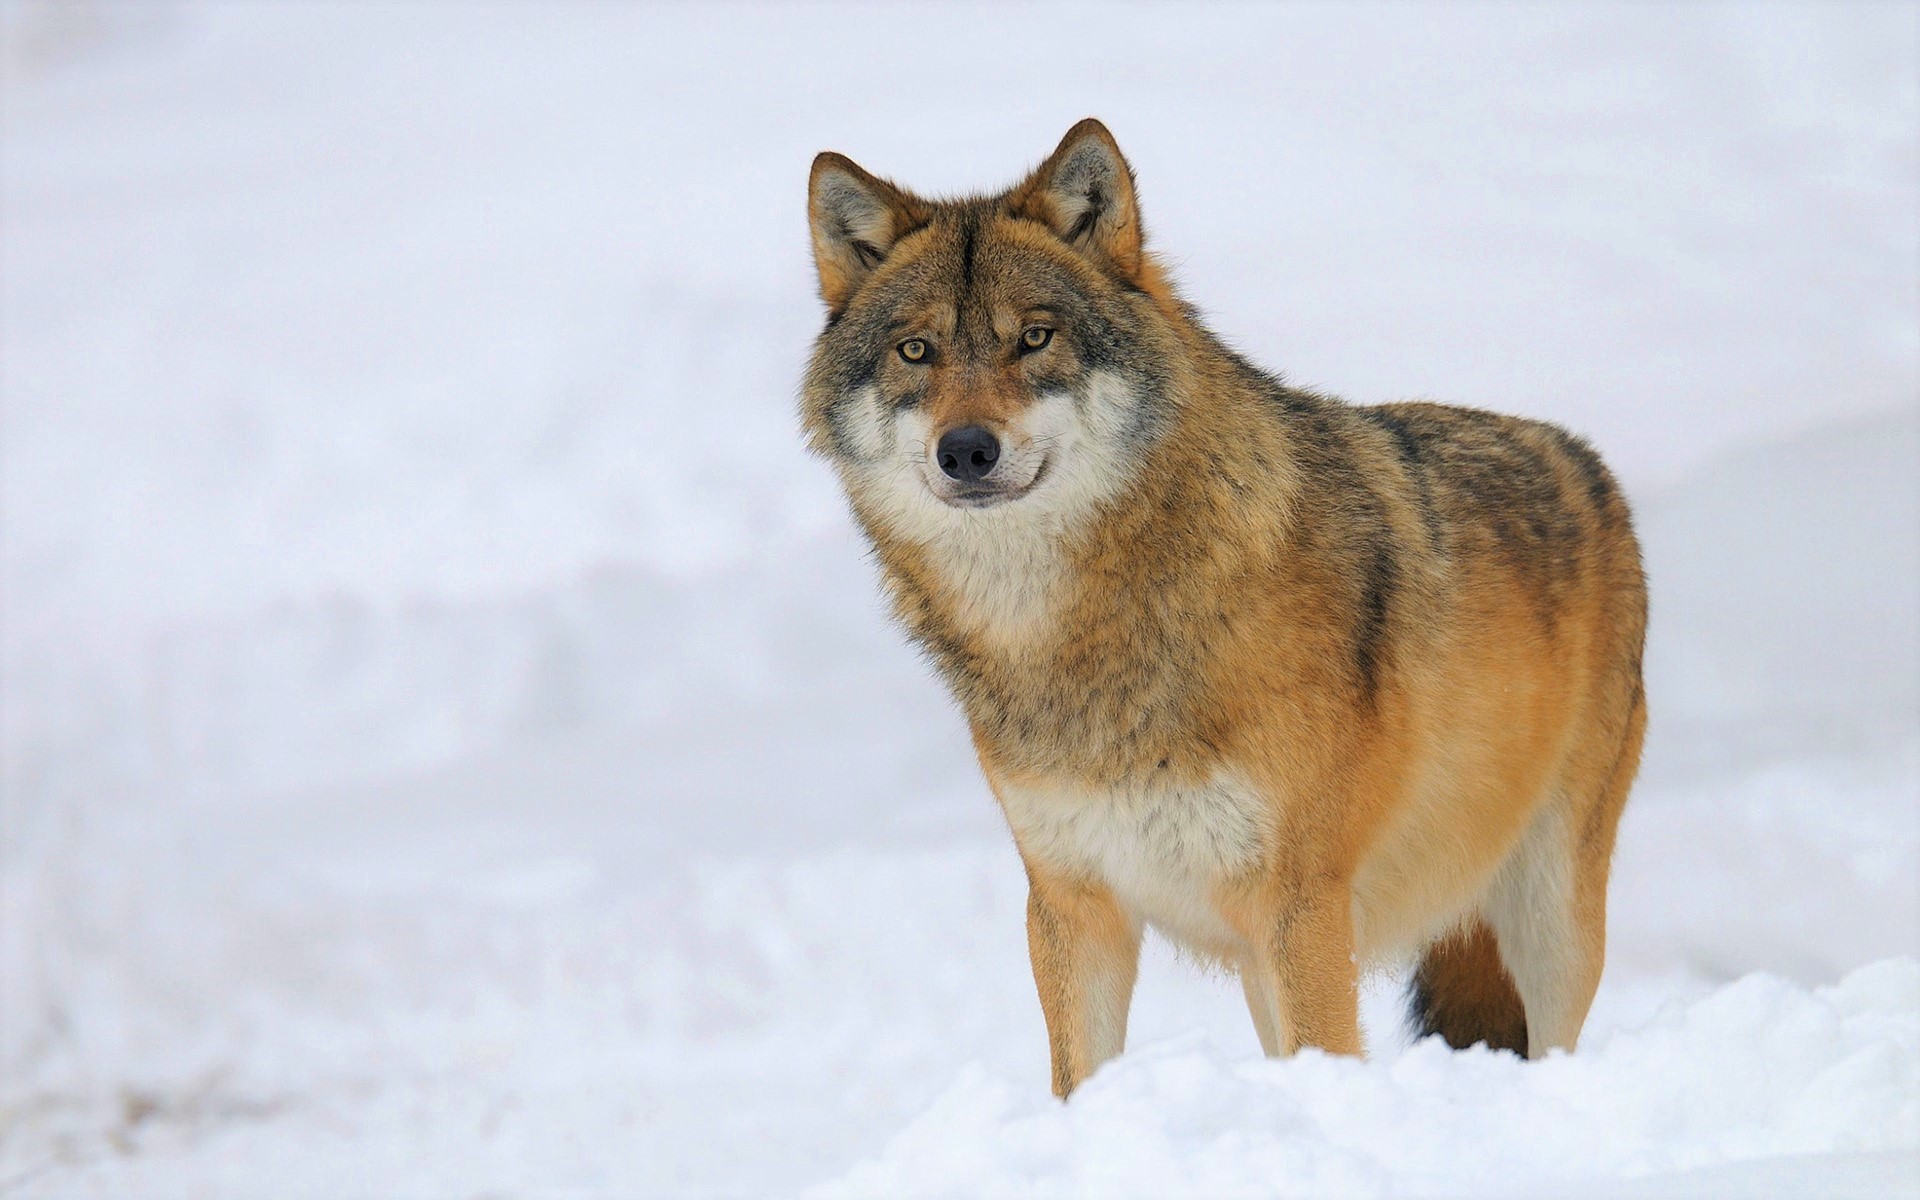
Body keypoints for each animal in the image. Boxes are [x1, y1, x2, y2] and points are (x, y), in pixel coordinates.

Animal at [800, 119, 1647, 1098]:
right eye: (916, 351)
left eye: (1035, 339)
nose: (966, 449)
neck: (1077, 638)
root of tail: (1587, 461)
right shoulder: (1070, 904)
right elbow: (1078, 1077)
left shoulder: (1303, 903)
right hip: (1260, 960)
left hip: (1550, 915)